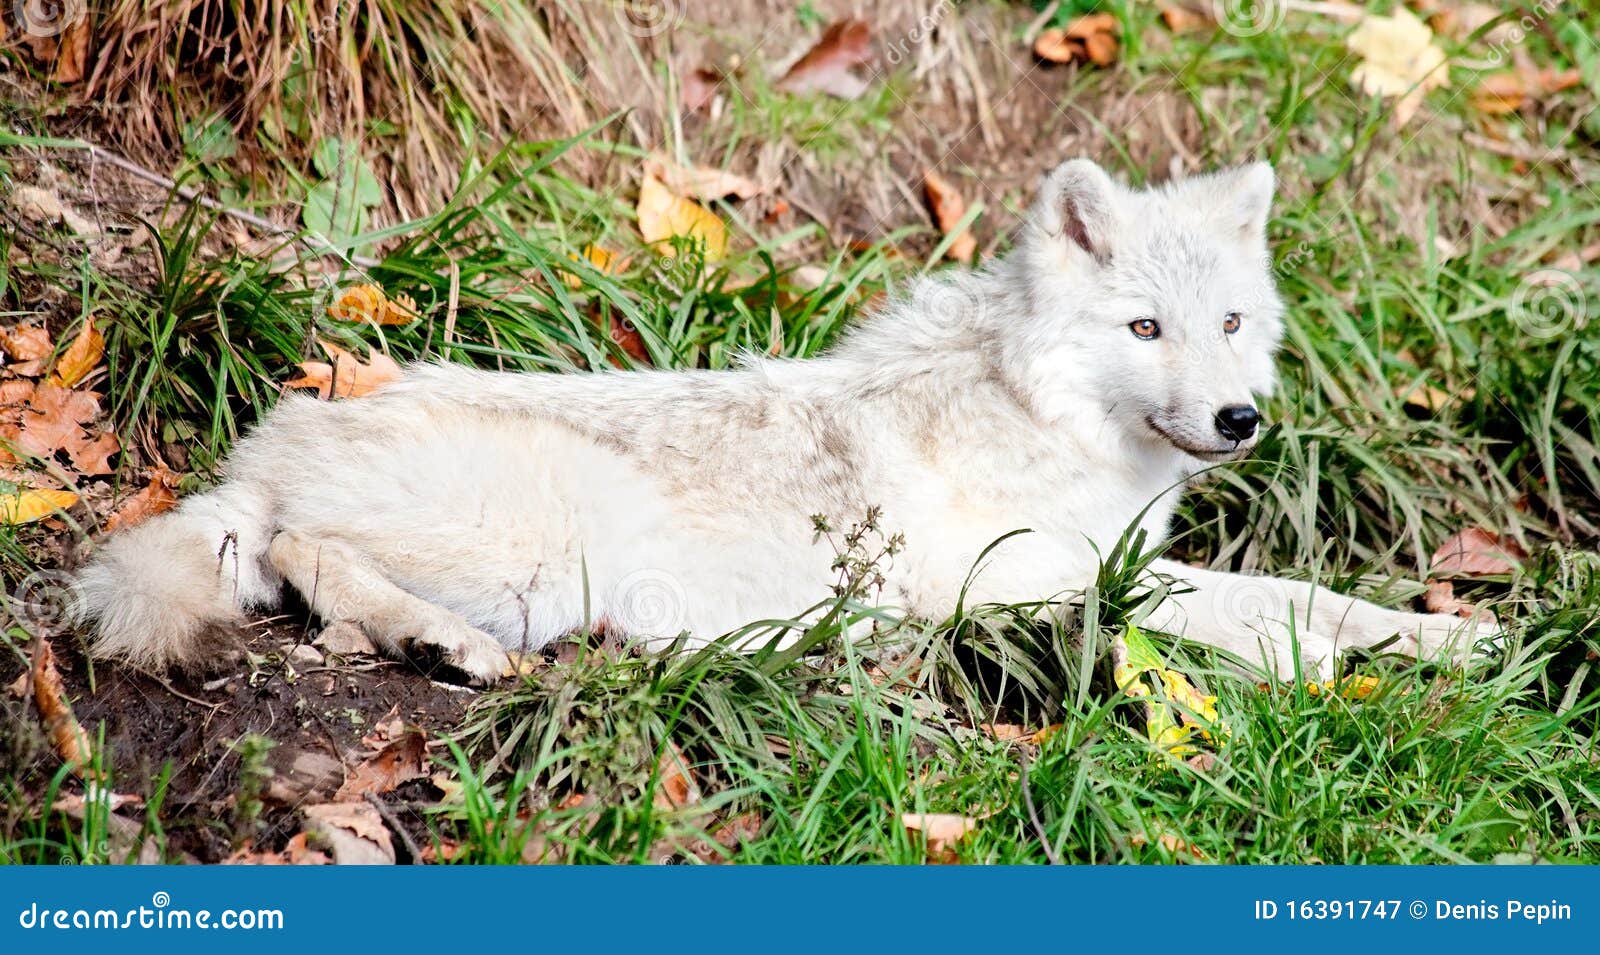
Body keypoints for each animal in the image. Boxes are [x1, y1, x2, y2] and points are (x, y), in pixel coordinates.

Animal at [75, 158, 1497, 682]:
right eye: (1146, 330)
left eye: (1231, 325)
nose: (1238, 418)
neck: (1043, 415)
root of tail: (268, 438)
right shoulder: (1023, 586)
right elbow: (1247, 609)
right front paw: (1328, 661)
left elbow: (1303, 591)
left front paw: (1460, 635)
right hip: (544, 568)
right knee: (305, 561)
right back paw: (445, 645)